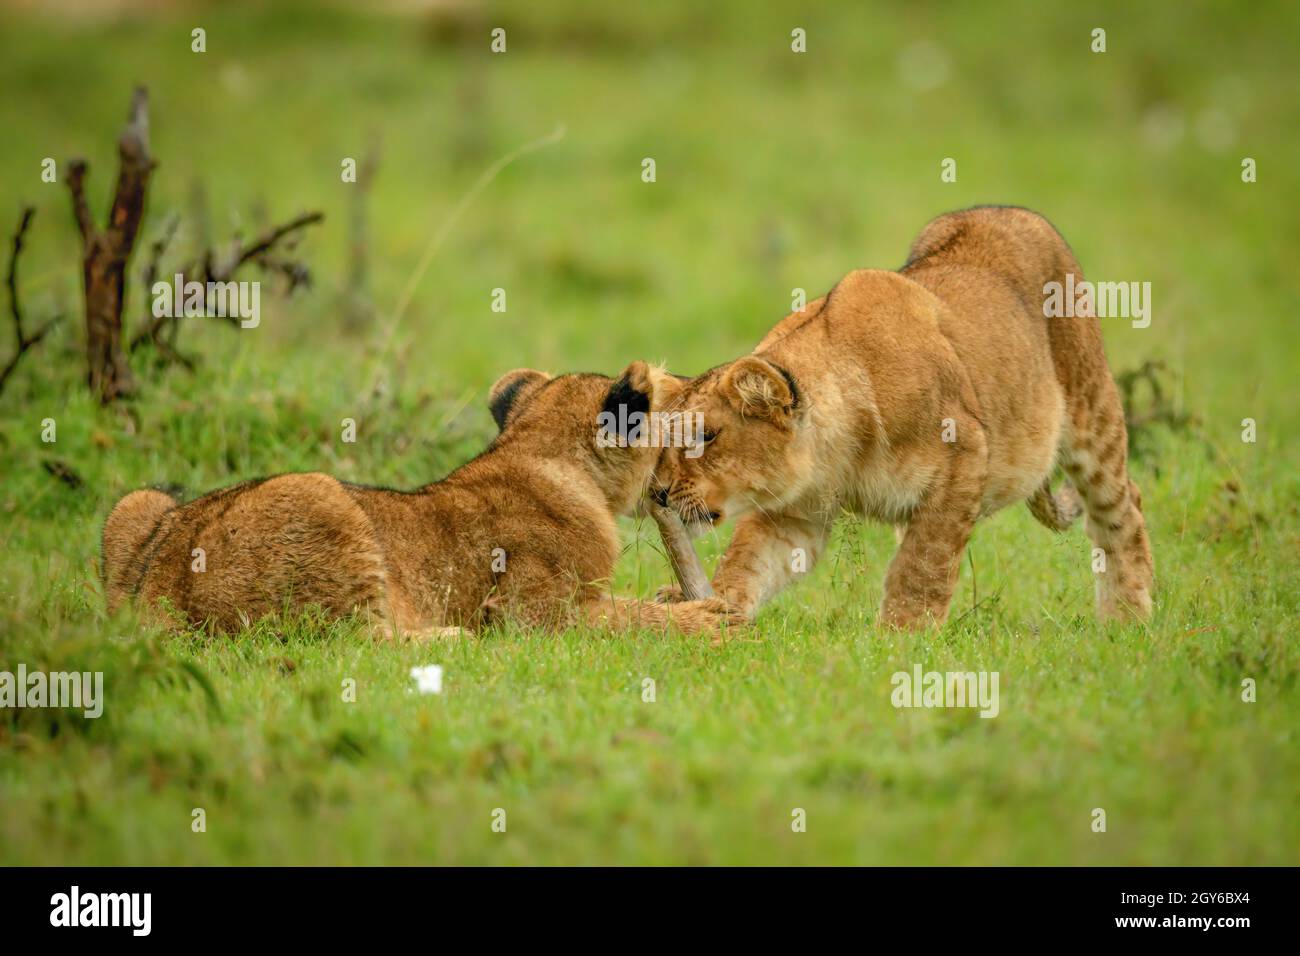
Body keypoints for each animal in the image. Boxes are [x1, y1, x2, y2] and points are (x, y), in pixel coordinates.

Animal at [102, 361, 739, 639]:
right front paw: (709, 618)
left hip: (135, 506)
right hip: (317, 494)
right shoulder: (526, 612)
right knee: (358, 645)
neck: (539, 452)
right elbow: (629, 616)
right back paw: (452, 642)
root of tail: (154, 602)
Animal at [651, 205, 1154, 629]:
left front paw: (902, 639)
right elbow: (749, 560)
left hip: (1092, 410)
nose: (657, 493)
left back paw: (1127, 620)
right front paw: (714, 608)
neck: (839, 449)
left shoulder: (964, 460)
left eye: (705, 437)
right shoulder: (792, 513)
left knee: (1123, 507)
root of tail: (1008, 209)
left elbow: (922, 565)